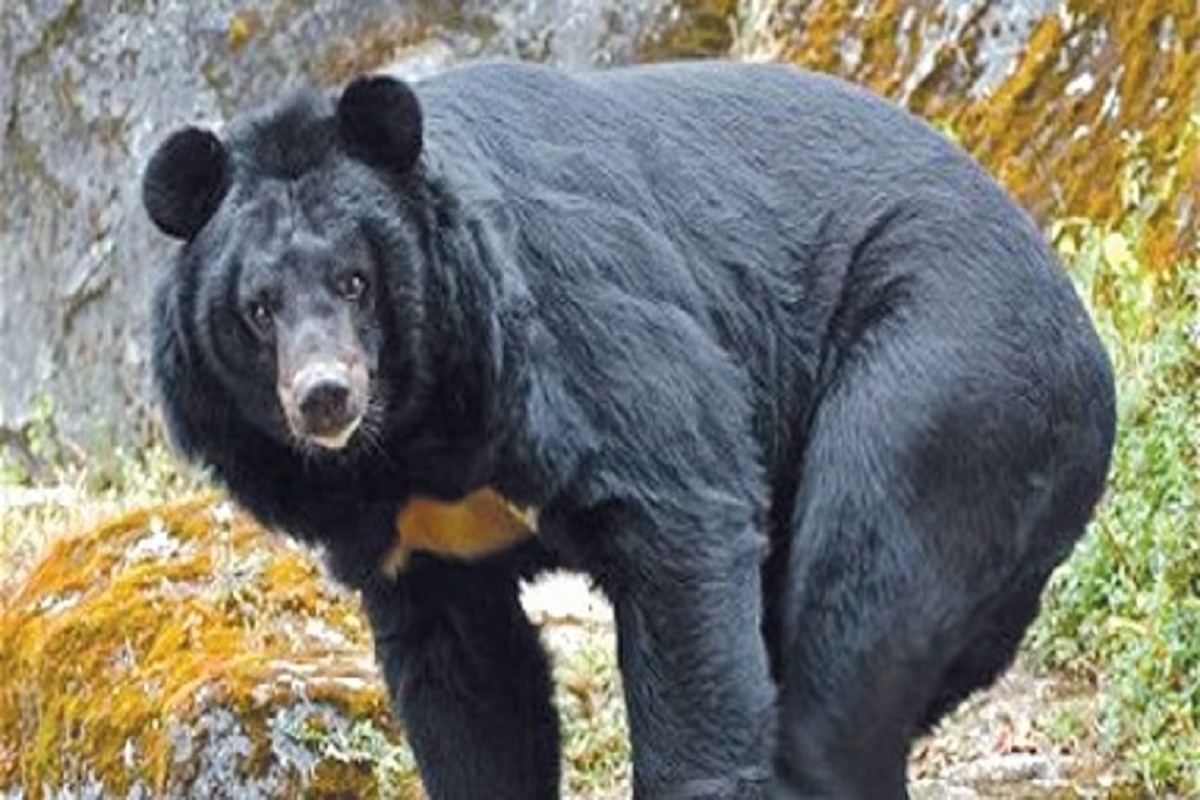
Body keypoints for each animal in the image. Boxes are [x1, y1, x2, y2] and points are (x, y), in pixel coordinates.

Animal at [141, 59, 1116, 799]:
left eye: (355, 281)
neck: (411, 440)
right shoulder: (419, 544)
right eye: (258, 308)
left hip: (946, 389)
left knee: (848, 625)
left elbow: (678, 523)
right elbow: (471, 695)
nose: (326, 397)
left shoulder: (569, 345)